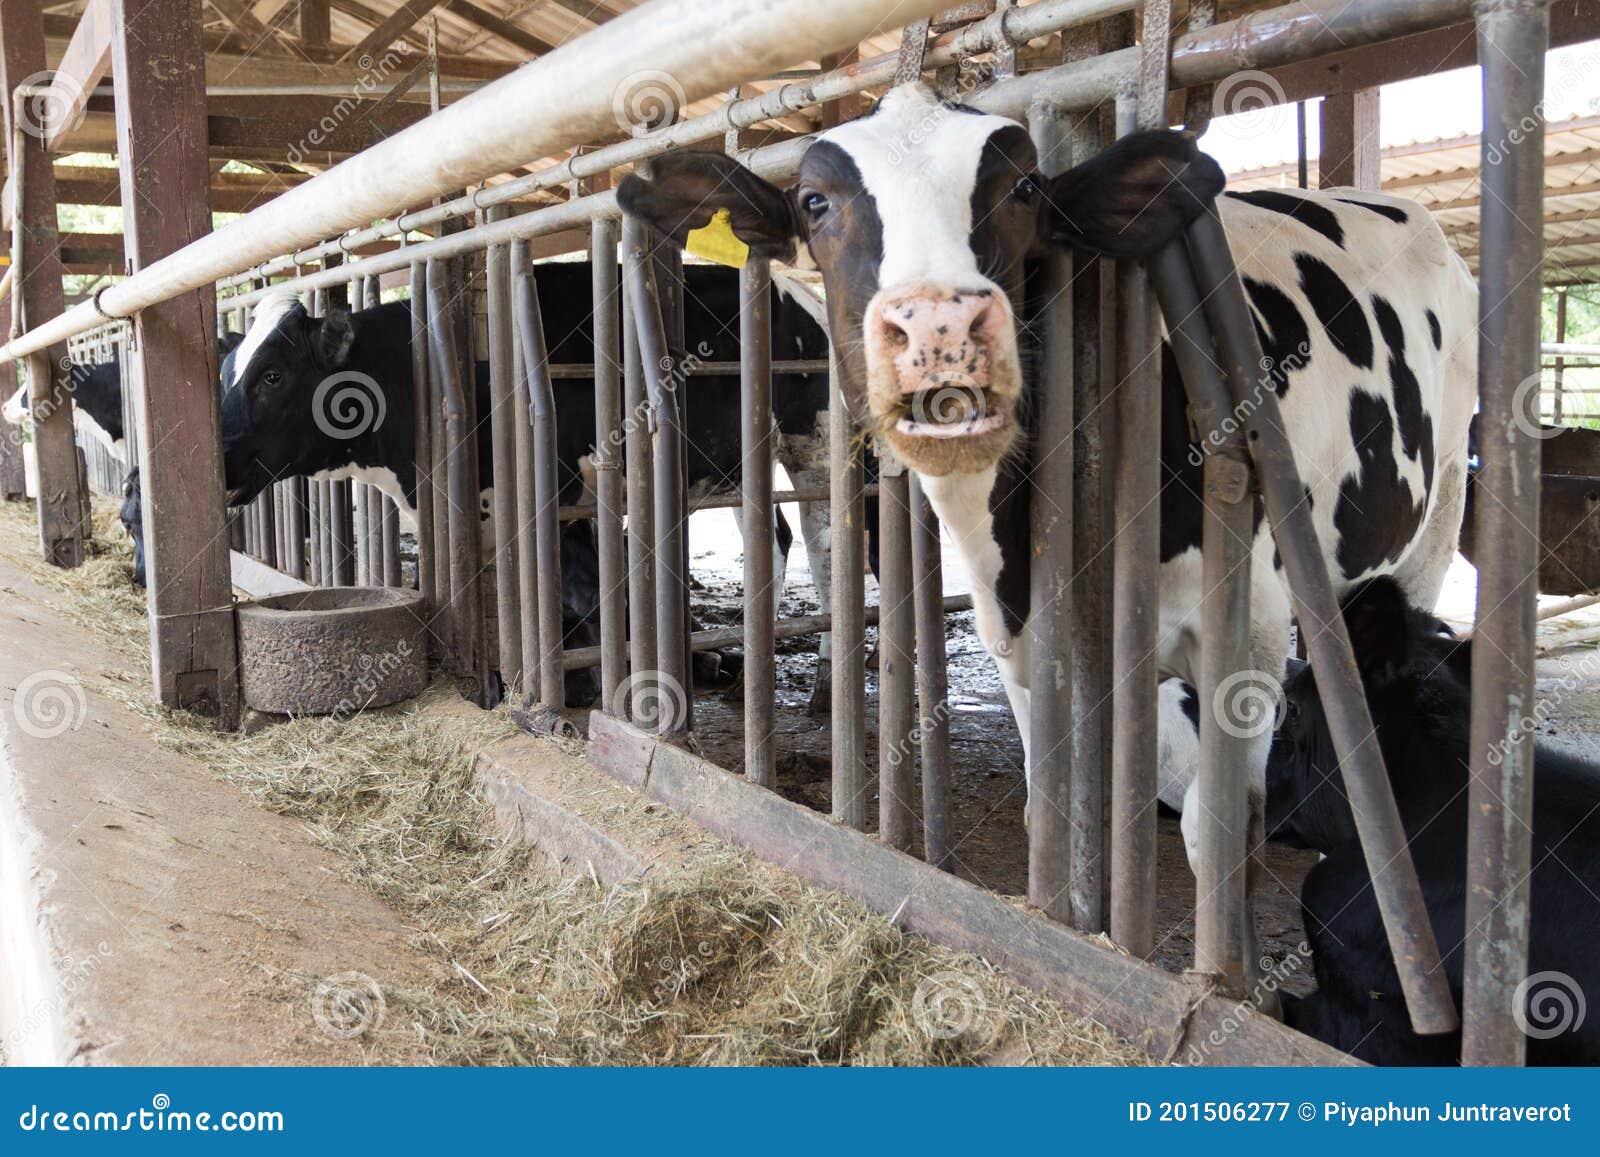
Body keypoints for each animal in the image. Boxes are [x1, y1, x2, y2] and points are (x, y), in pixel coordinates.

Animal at [618, 81, 1476, 857]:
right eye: (814, 201)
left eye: (1024, 188)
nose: (939, 327)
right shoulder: (1025, 647)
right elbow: (1052, 807)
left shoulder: (1251, 633)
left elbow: (1216, 829)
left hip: (1435, 514)